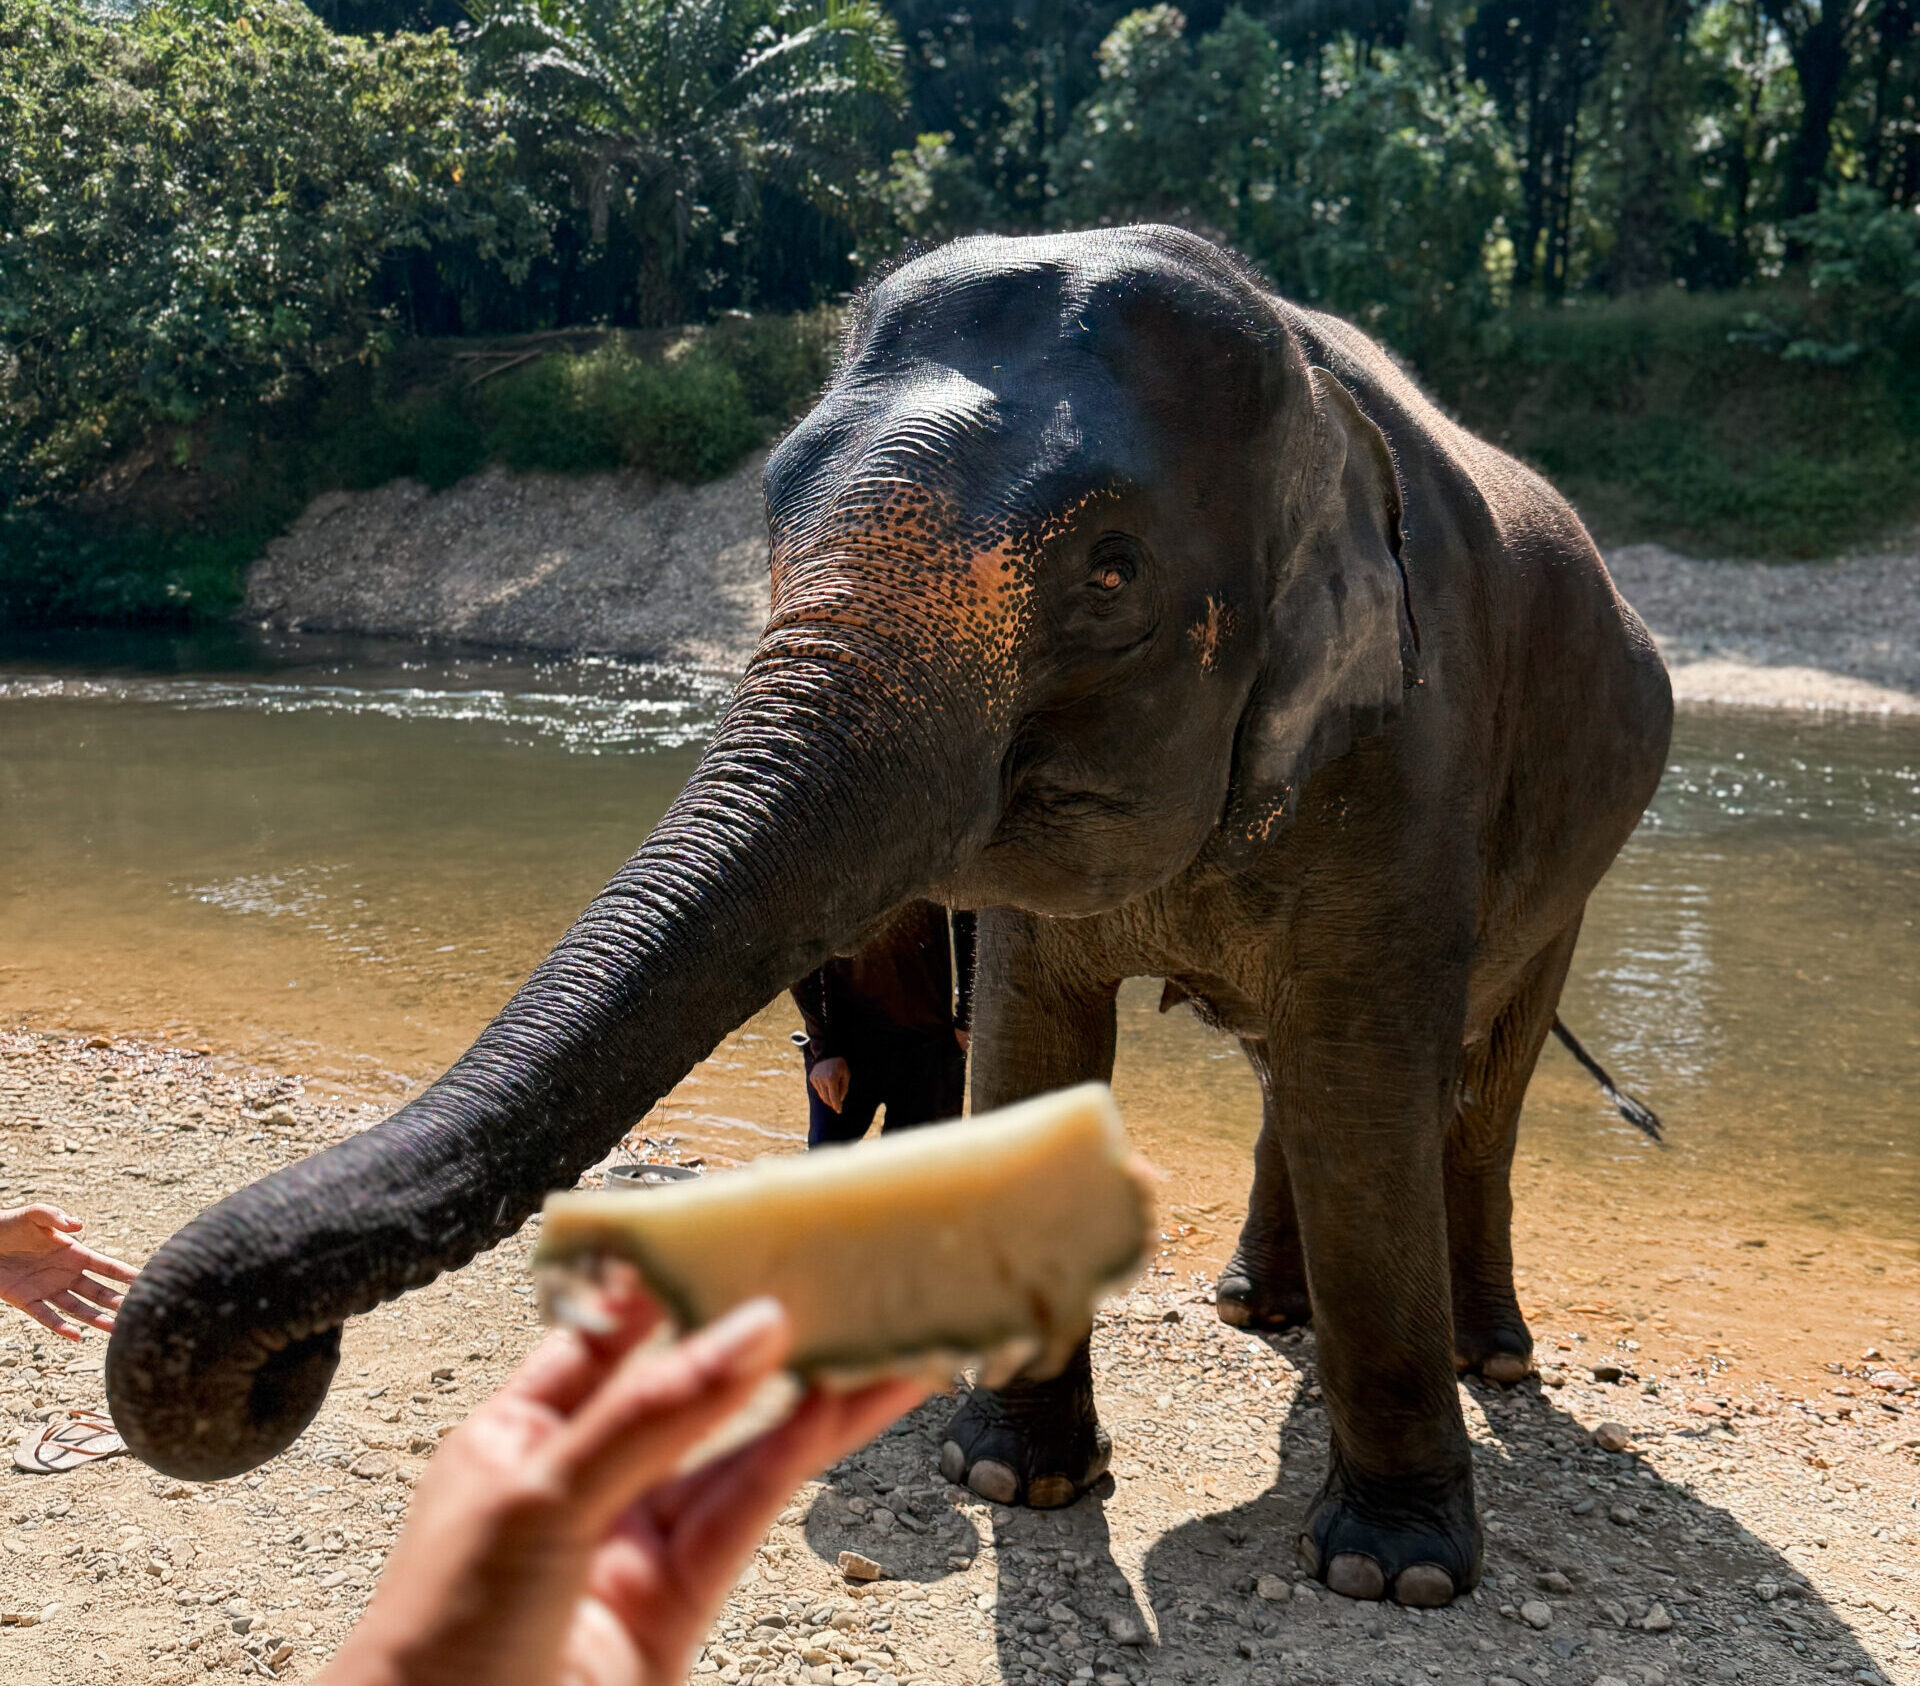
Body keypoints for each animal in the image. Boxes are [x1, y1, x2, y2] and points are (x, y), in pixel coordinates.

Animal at [106, 225, 1671, 1609]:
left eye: (1112, 570)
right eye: (771, 512)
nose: (284, 1370)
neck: (1300, 363)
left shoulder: (1413, 750)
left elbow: (1359, 1082)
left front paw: (1393, 1573)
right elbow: (1034, 1056)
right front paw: (1013, 1481)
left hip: (1582, 850)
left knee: (1466, 1088)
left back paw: (1491, 1359)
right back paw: (1255, 1311)